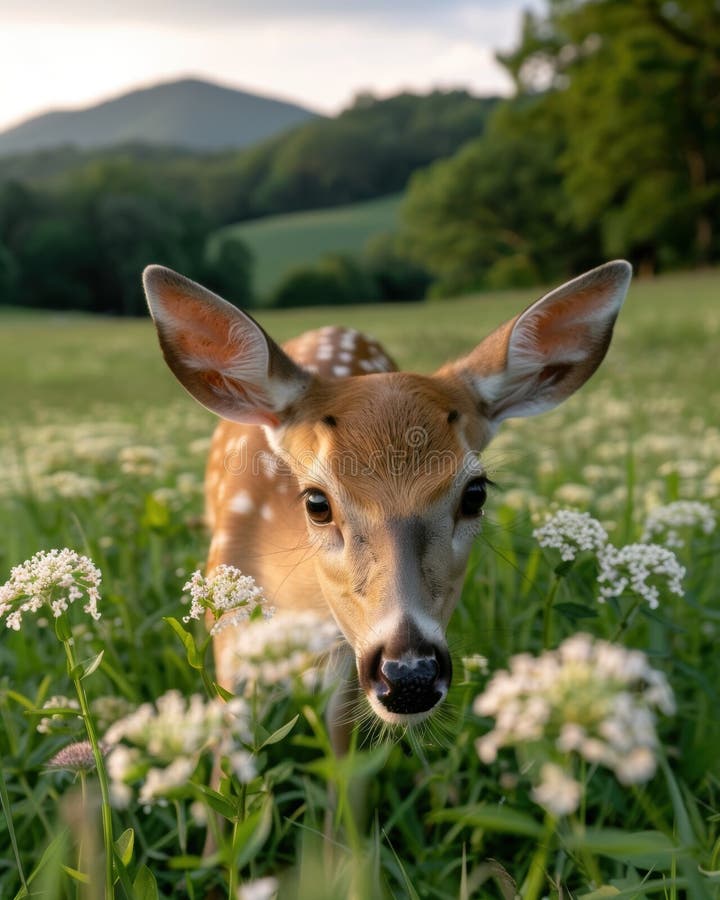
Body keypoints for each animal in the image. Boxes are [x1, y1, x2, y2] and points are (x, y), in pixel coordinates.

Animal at [143, 260, 631, 752]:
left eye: (475, 493)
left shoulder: (344, 651)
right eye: (317, 502)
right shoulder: (228, 632)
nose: (410, 676)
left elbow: (342, 754)